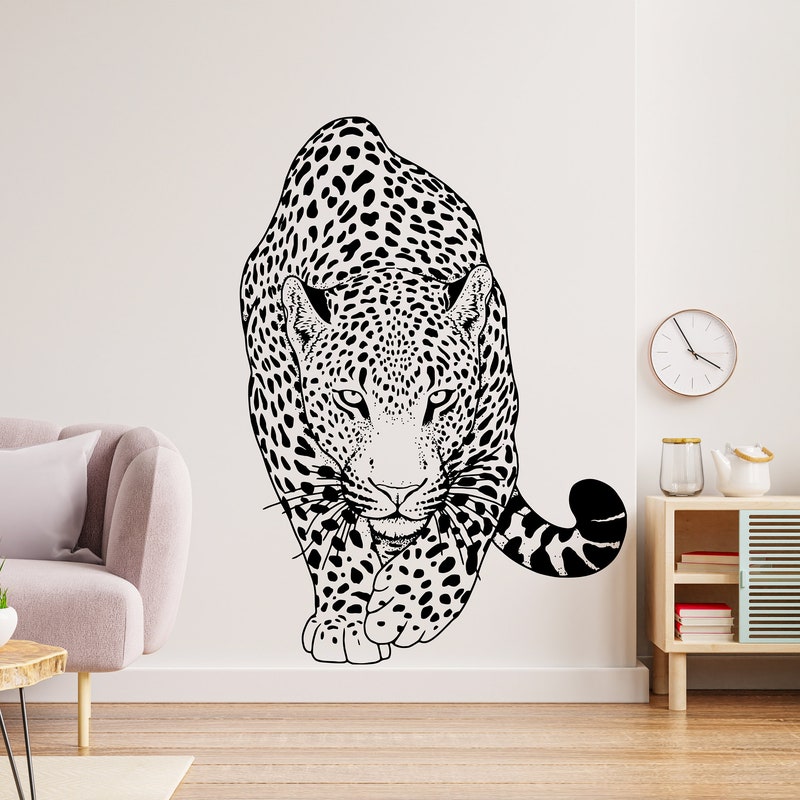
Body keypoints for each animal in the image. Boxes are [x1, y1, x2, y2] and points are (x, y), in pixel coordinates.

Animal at [240, 117, 626, 664]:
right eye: (351, 400)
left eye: (438, 399)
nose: (398, 492)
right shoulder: (287, 444)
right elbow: (332, 536)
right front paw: (343, 620)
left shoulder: (493, 453)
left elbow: (458, 535)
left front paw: (402, 609)